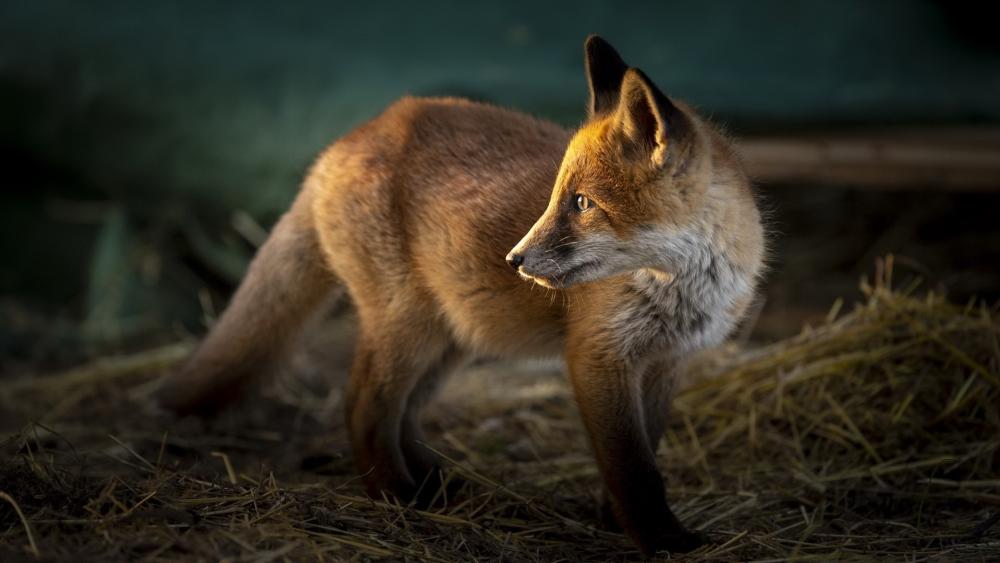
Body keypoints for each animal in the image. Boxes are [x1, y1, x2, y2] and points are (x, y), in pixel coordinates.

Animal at [155, 36, 765, 556]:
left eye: (582, 203)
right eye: (558, 197)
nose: (515, 260)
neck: (687, 284)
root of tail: (348, 138)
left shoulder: (665, 361)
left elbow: (646, 452)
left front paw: (618, 521)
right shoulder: (598, 356)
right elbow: (632, 468)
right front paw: (661, 540)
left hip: (451, 338)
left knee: (404, 413)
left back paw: (436, 486)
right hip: (408, 327)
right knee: (363, 405)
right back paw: (398, 497)